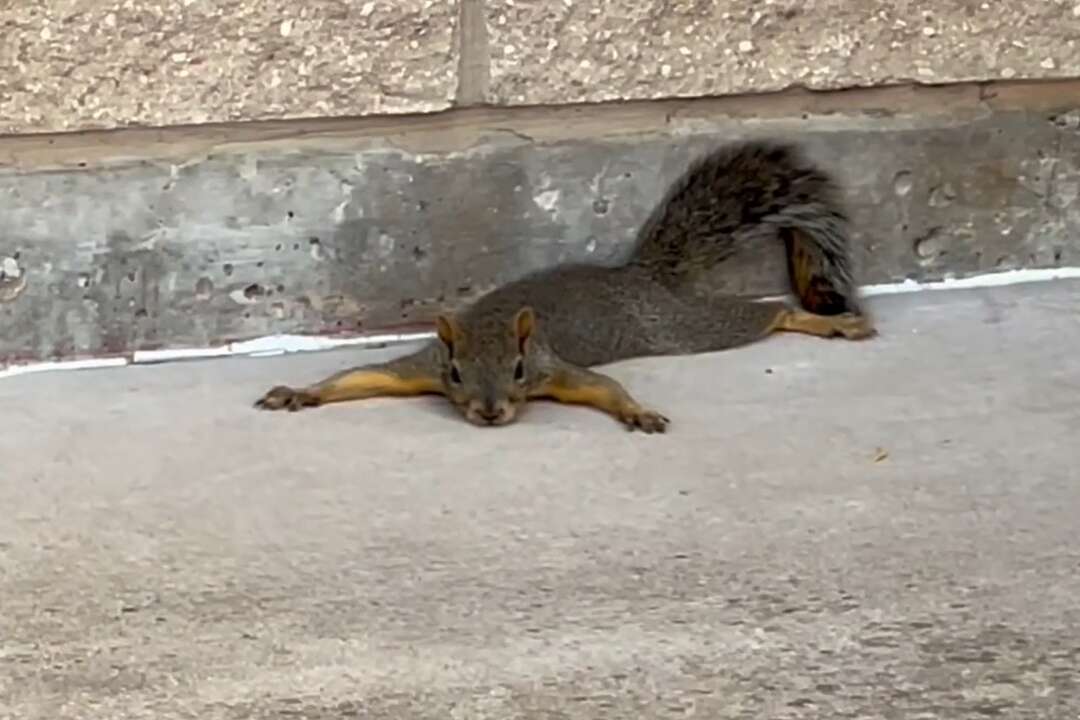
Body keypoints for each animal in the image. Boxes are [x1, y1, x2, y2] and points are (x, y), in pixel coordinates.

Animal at [255, 140, 875, 433]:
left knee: (764, 314)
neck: (490, 325)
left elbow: (603, 388)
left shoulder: (556, 368)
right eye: (455, 373)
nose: (490, 414)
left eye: (519, 370)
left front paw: (638, 413)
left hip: (678, 325)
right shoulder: (421, 368)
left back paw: (829, 322)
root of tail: (638, 273)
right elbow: (361, 376)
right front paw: (301, 392)